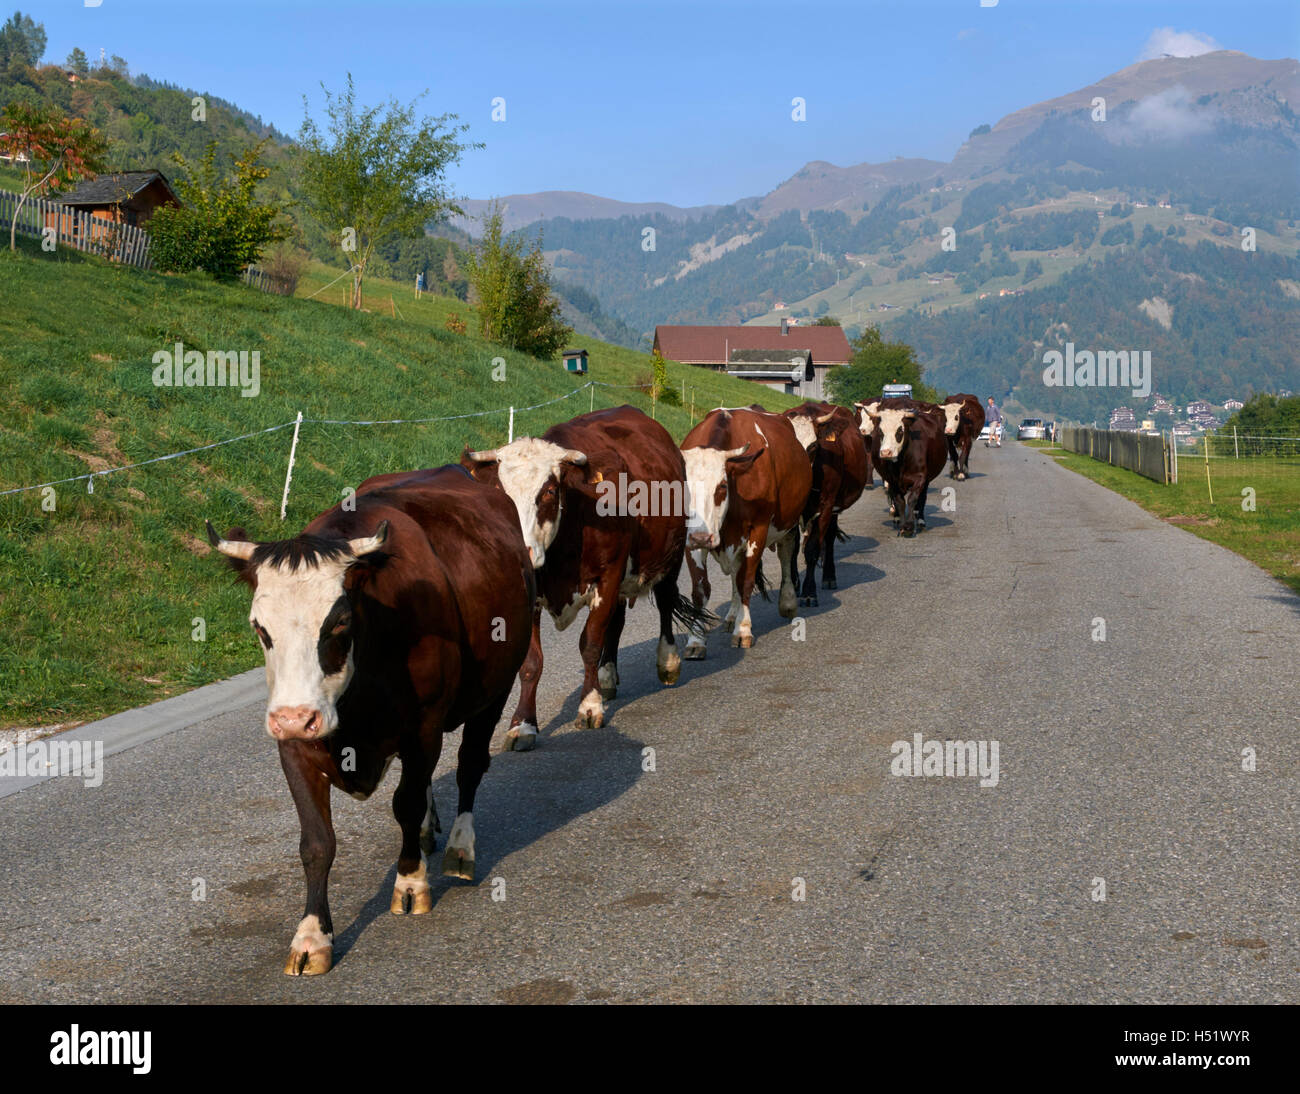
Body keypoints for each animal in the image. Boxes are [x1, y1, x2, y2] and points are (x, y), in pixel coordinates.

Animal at [205, 465, 535, 976]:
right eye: (260, 627)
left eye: (339, 622)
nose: (295, 717)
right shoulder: (294, 745)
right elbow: (316, 842)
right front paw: (312, 936)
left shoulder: (422, 729)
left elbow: (405, 804)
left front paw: (410, 883)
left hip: (494, 691)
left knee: (469, 767)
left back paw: (460, 847)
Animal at [461, 405, 706, 748]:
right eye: (498, 495)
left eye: (550, 491)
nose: (520, 551)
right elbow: (531, 662)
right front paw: (523, 724)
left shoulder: (608, 576)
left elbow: (590, 643)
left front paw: (589, 707)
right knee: (617, 622)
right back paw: (607, 677)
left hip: (669, 557)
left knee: (665, 603)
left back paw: (667, 661)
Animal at [679, 406, 812, 654]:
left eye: (722, 486)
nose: (702, 537)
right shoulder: (690, 538)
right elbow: (700, 590)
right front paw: (696, 640)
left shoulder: (758, 529)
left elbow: (746, 581)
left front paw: (743, 630)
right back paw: (732, 616)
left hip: (788, 523)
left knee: (785, 555)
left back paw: (787, 602)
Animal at [782, 401, 869, 606]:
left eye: (813, 445)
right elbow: (793, 548)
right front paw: (794, 585)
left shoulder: (826, 506)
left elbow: (812, 549)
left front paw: (809, 592)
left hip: (834, 507)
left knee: (828, 538)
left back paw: (829, 577)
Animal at [854, 398, 947, 536]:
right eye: (880, 431)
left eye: (900, 431)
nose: (886, 452)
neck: (902, 462)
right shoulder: (892, 481)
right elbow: (899, 501)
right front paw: (903, 524)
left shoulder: (921, 478)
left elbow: (913, 499)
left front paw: (909, 526)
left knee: (922, 498)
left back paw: (920, 519)